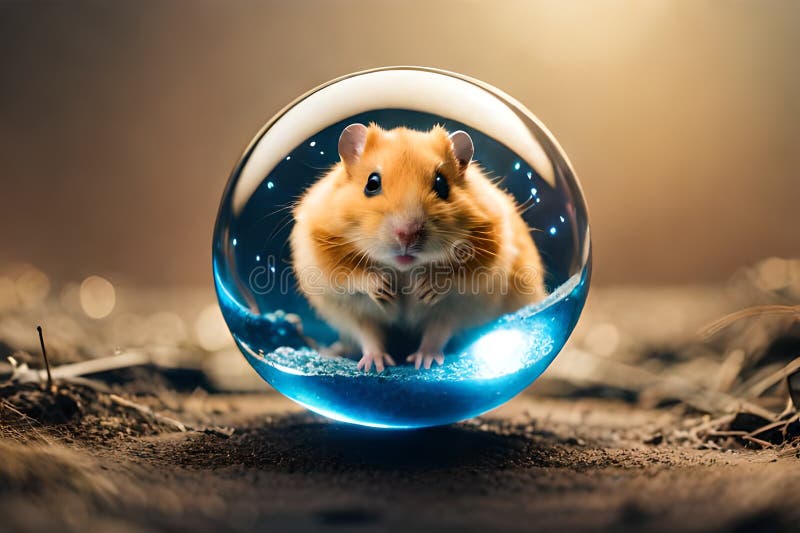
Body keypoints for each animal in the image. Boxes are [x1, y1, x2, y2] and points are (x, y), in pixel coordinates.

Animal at [290, 123, 547, 372]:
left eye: (442, 184)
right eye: (372, 183)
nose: (407, 234)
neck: (403, 269)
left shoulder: (482, 267)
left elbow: (458, 279)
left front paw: (427, 287)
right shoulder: (325, 263)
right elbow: (351, 279)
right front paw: (383, 290)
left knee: (437, 334)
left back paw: (424, 361)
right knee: (368, 335)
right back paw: (355, 358)